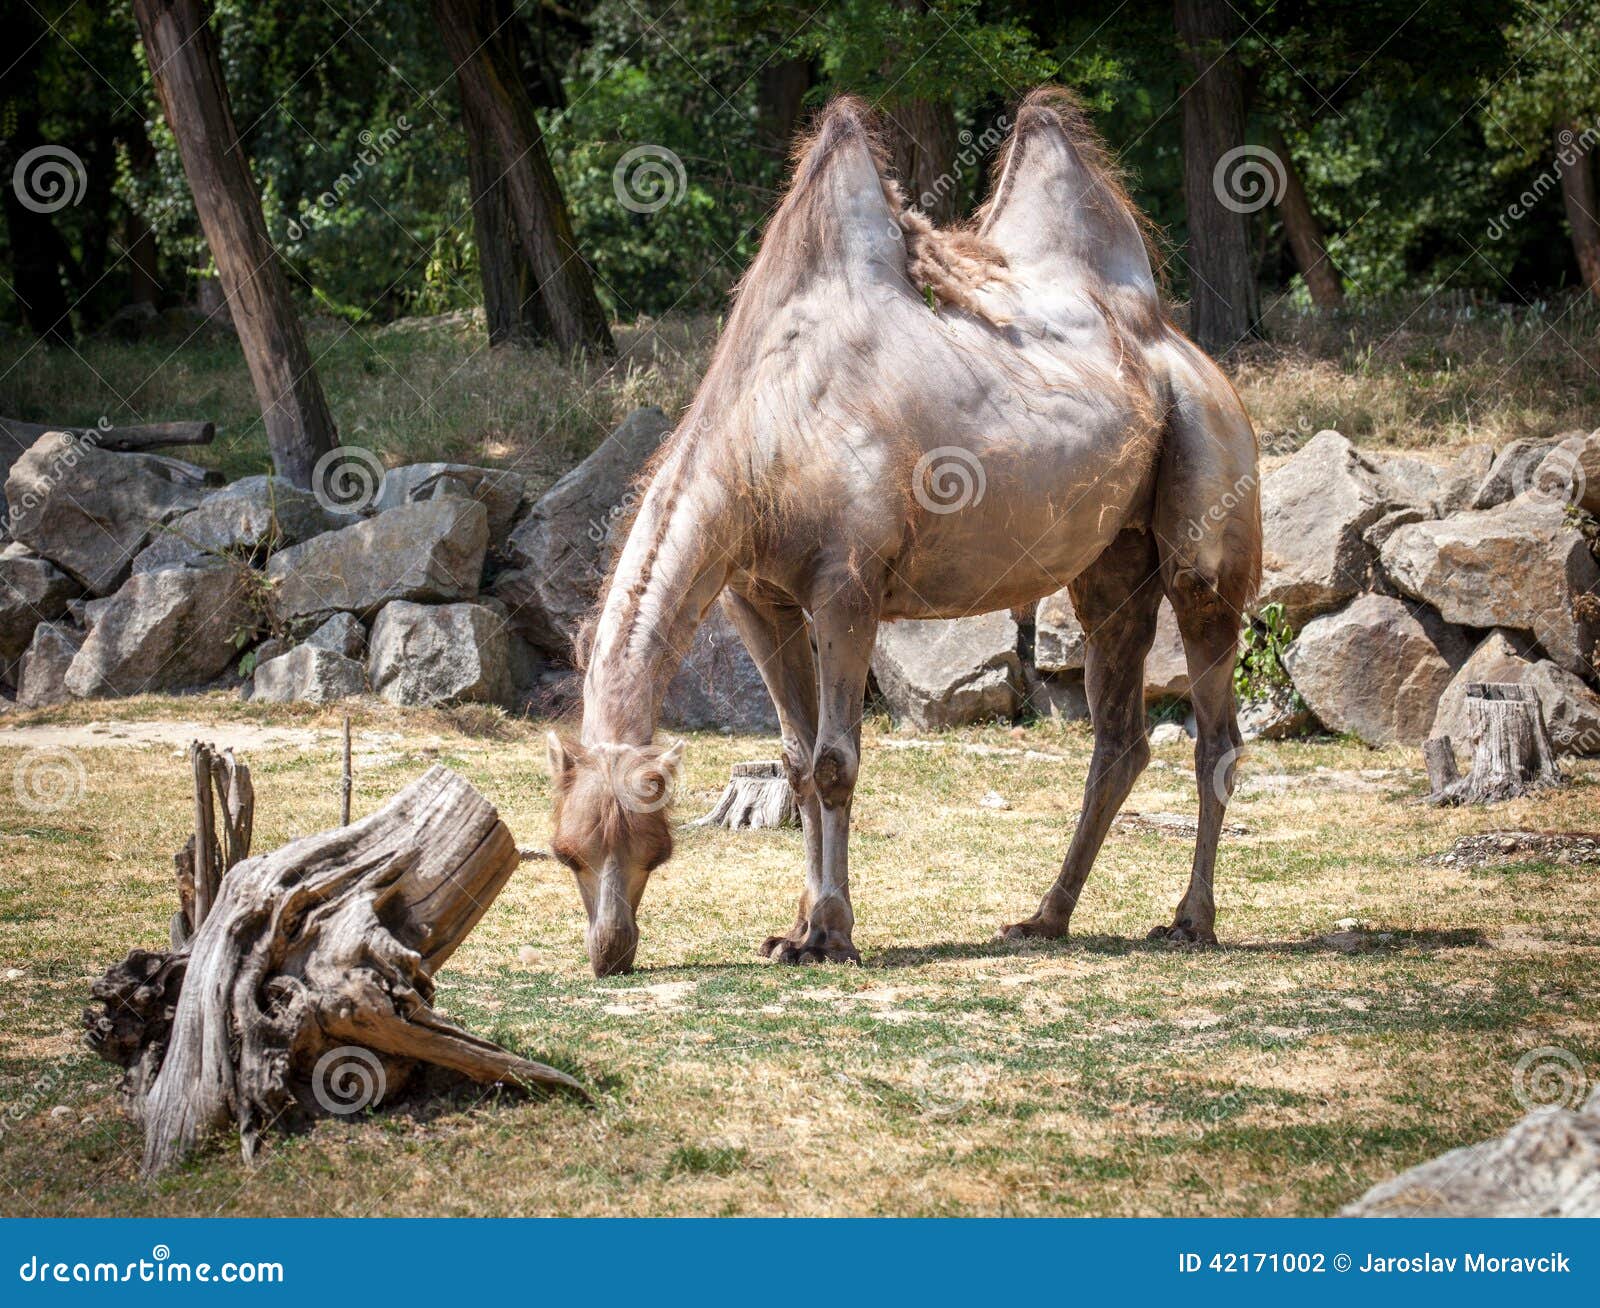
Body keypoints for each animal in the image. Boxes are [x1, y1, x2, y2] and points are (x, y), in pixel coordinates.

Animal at [547, 87, 1261, 977]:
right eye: (564, 852)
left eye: (655, 848)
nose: (608, 951)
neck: (760, 440)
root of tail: (1183, 347)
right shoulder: (757, 597)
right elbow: (794, 761)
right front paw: (793, 931)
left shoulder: (848, 586)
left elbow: (833, 762)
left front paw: (833, 933)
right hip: (1109, 562)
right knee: (1121, 736)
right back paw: (1045, 917)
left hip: (1208, 508)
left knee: (1215, 729)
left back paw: (1192, 919)